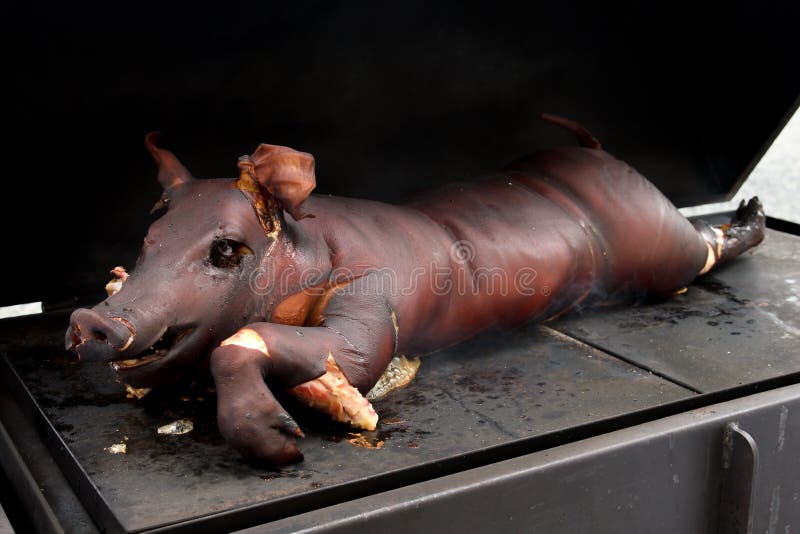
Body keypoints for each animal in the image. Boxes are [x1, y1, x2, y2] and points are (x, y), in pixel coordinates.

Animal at [66, 115, 765, 464]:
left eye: (226, 250)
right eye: (147, 240)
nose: (90, 321)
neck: (313, 251)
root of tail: (596, 151)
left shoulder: (374, 303)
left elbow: (287, 347)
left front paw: (283, 440)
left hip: (657, 239)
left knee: (704, 247)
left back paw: (752, 215)